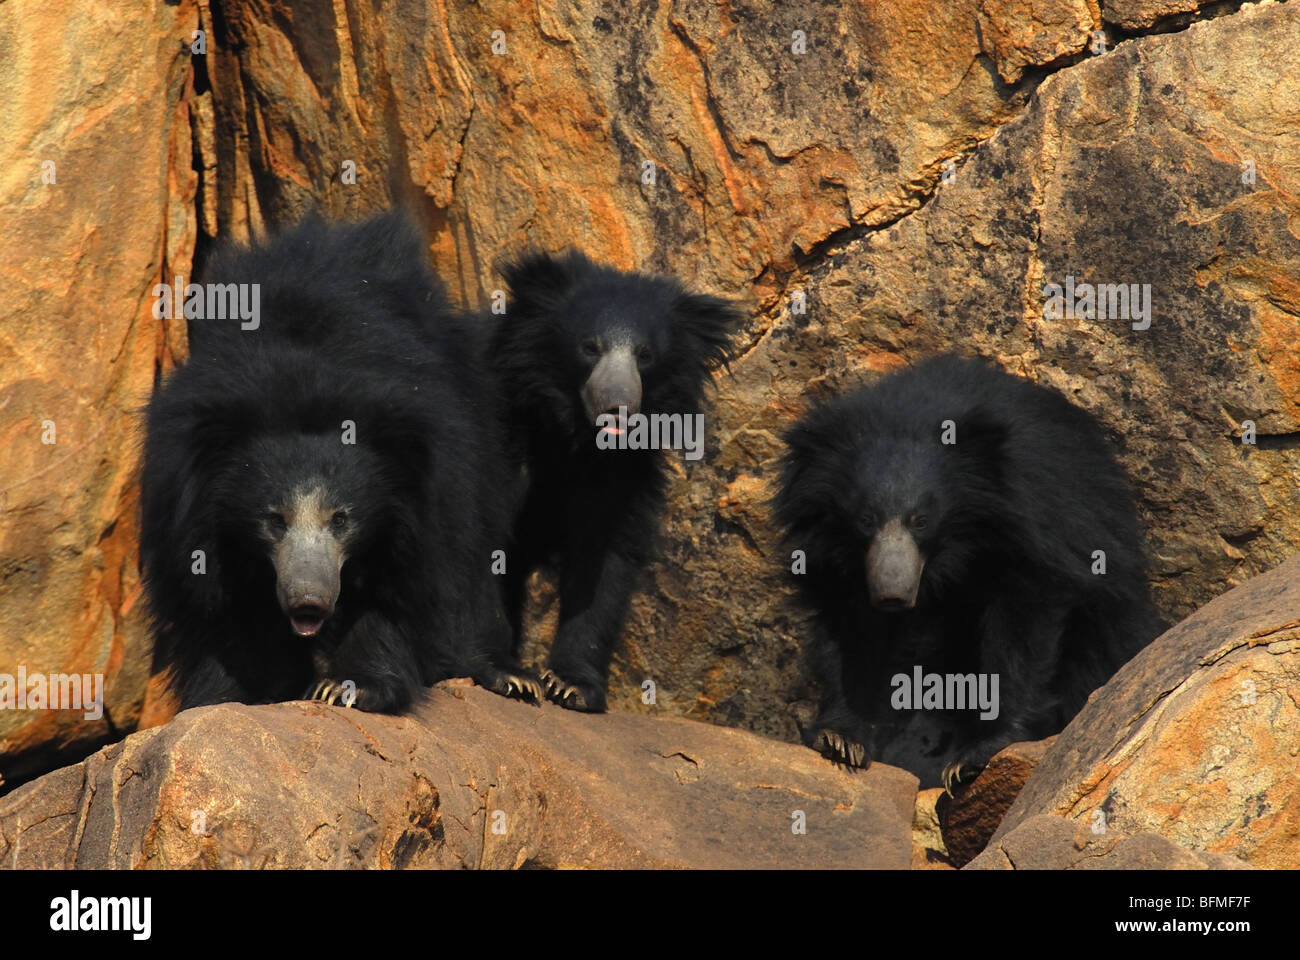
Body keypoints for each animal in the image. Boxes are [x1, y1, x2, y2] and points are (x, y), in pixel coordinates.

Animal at [140, 212, 538, 713]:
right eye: (274, 519)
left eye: (341, 519)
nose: (308, 602)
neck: (305, 392)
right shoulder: (188, 507)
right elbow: (218, 605)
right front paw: (232, 694)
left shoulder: (424, 485)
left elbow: (398, 588)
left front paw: (347, 688)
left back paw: (510, 676)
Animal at [486, 250, 739, 711]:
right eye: (590, 348)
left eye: (645, 354)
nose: (618, 406)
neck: (574, 436)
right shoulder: (504, 431)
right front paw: (508, 675)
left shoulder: (623, 475)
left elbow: (605, 558)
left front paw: (571, 684)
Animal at [773, 354, 1163, 790]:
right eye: (865, 519)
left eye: (921, 520)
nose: (892, 595)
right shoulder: (832, 552)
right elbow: (848, 630)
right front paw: (842, 739)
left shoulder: (1037, 523)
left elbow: (1024, 627)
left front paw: (976, 756)